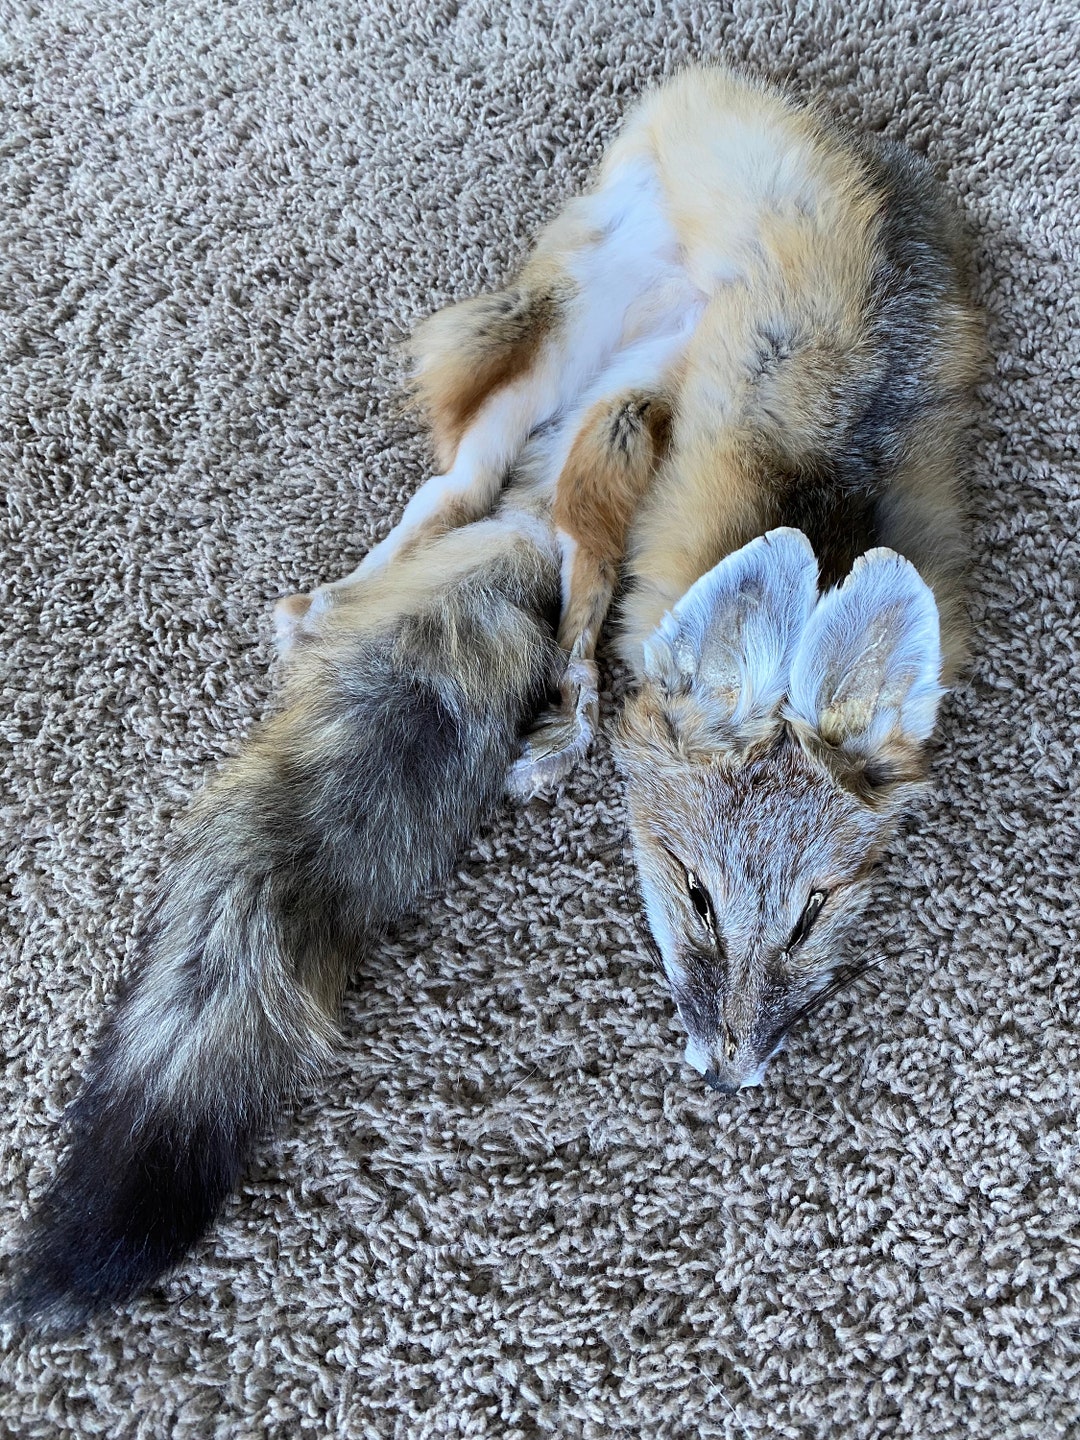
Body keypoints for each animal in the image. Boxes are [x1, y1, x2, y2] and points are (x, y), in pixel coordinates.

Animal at [4, 64, 981, 1329]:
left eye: (812, 915)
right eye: (696, 898)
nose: (730, 1075)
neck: (828, 499)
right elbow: (589, 622)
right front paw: (568, 722)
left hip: (610, 413)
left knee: (489, 513)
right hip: (559, 371)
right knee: (482, 518)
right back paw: (415, 638)